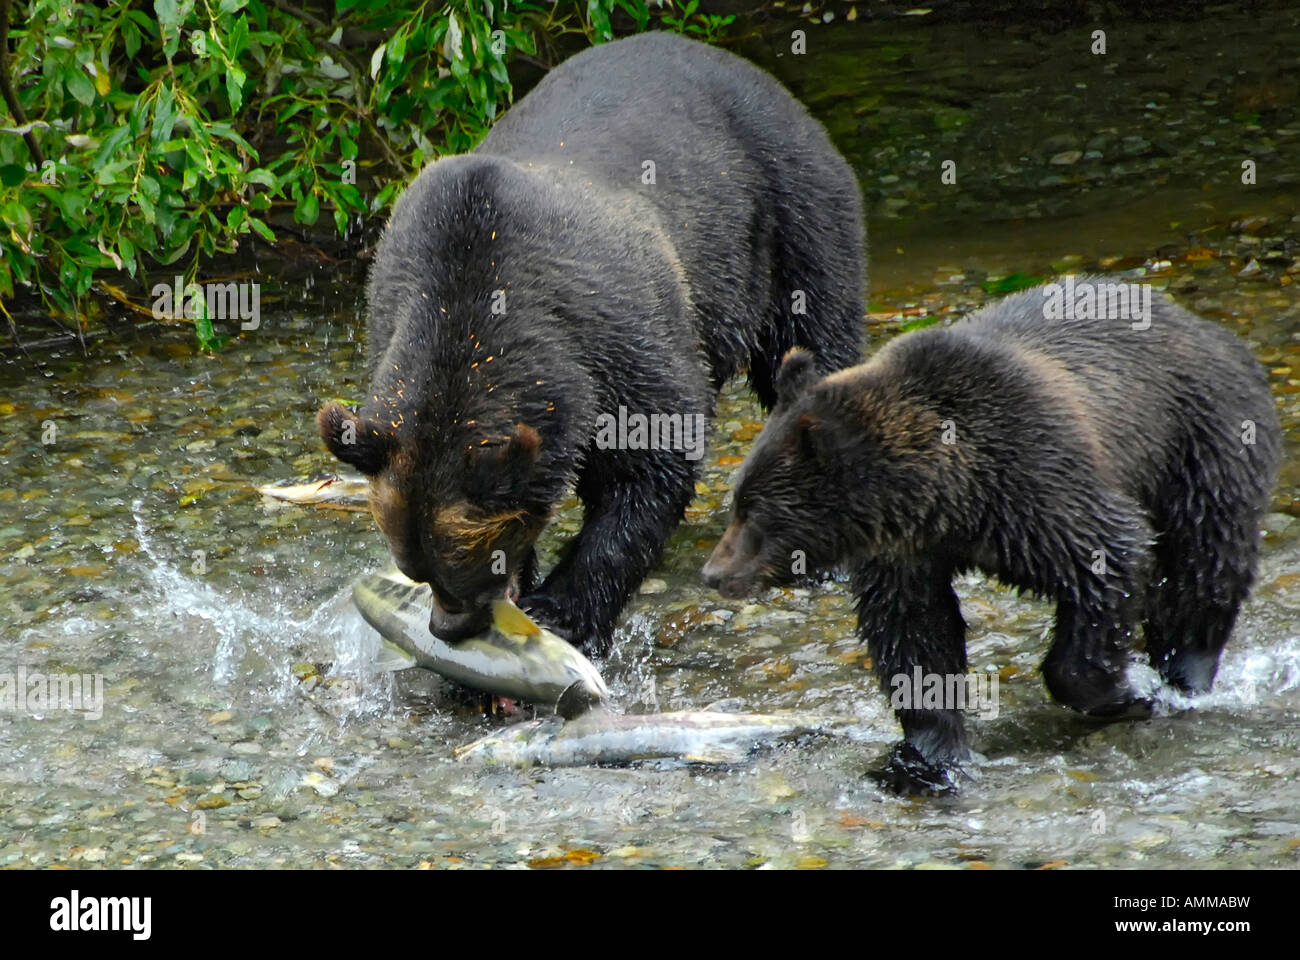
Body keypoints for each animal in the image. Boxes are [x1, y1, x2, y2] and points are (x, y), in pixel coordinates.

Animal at [318, 32, 866, 655]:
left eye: (468, 568)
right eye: (415, 571)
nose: (447, 628)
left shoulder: (612, 332)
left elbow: (651, 462)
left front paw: (562, 610)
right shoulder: (393, 303)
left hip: (790, 215)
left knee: (812, 345)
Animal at [701, 276, 1281, 794]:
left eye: (754, 512)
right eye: (737, 502)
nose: (713, 572)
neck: (950, 496)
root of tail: (1216, 332)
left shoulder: (1036, 478)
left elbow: (1108, 556)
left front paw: (1124, 695)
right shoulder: (909, 551)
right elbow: (914, 635)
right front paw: (924, 760)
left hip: (1201, 443)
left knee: (1204, 558)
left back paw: (1184, 675)